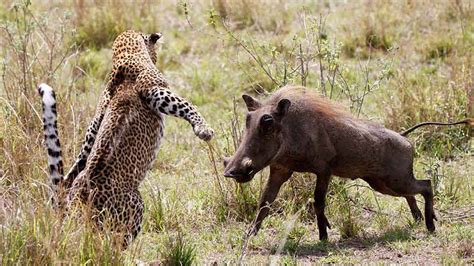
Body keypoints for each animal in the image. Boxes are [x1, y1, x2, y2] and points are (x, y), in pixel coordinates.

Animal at [39, 29, 215, 247]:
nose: (157, 58)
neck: (126, 56)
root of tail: (80, 203)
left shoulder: (98, 116)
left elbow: (82, 154)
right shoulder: (153, 91)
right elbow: (185, 104)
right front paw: (204, 129)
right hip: (134, 205)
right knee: (113, 243)